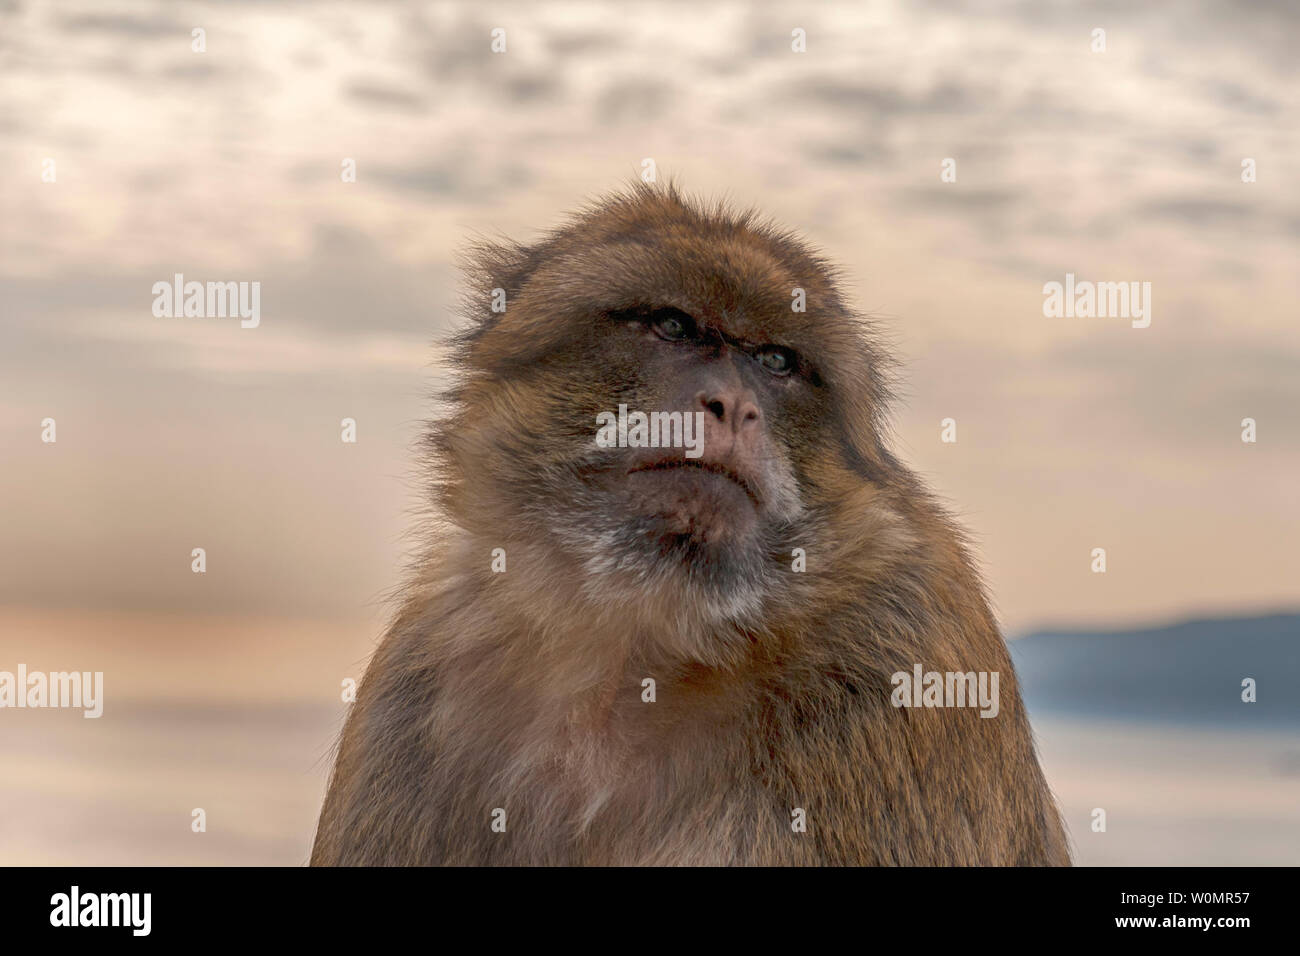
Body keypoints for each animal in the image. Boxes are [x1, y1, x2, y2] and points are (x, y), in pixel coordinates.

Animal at [310, 182, 1072, 866]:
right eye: (674, 326)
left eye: (776, 361)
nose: (734, 405)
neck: (643, 637)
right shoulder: (420, 670)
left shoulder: (907, 657)